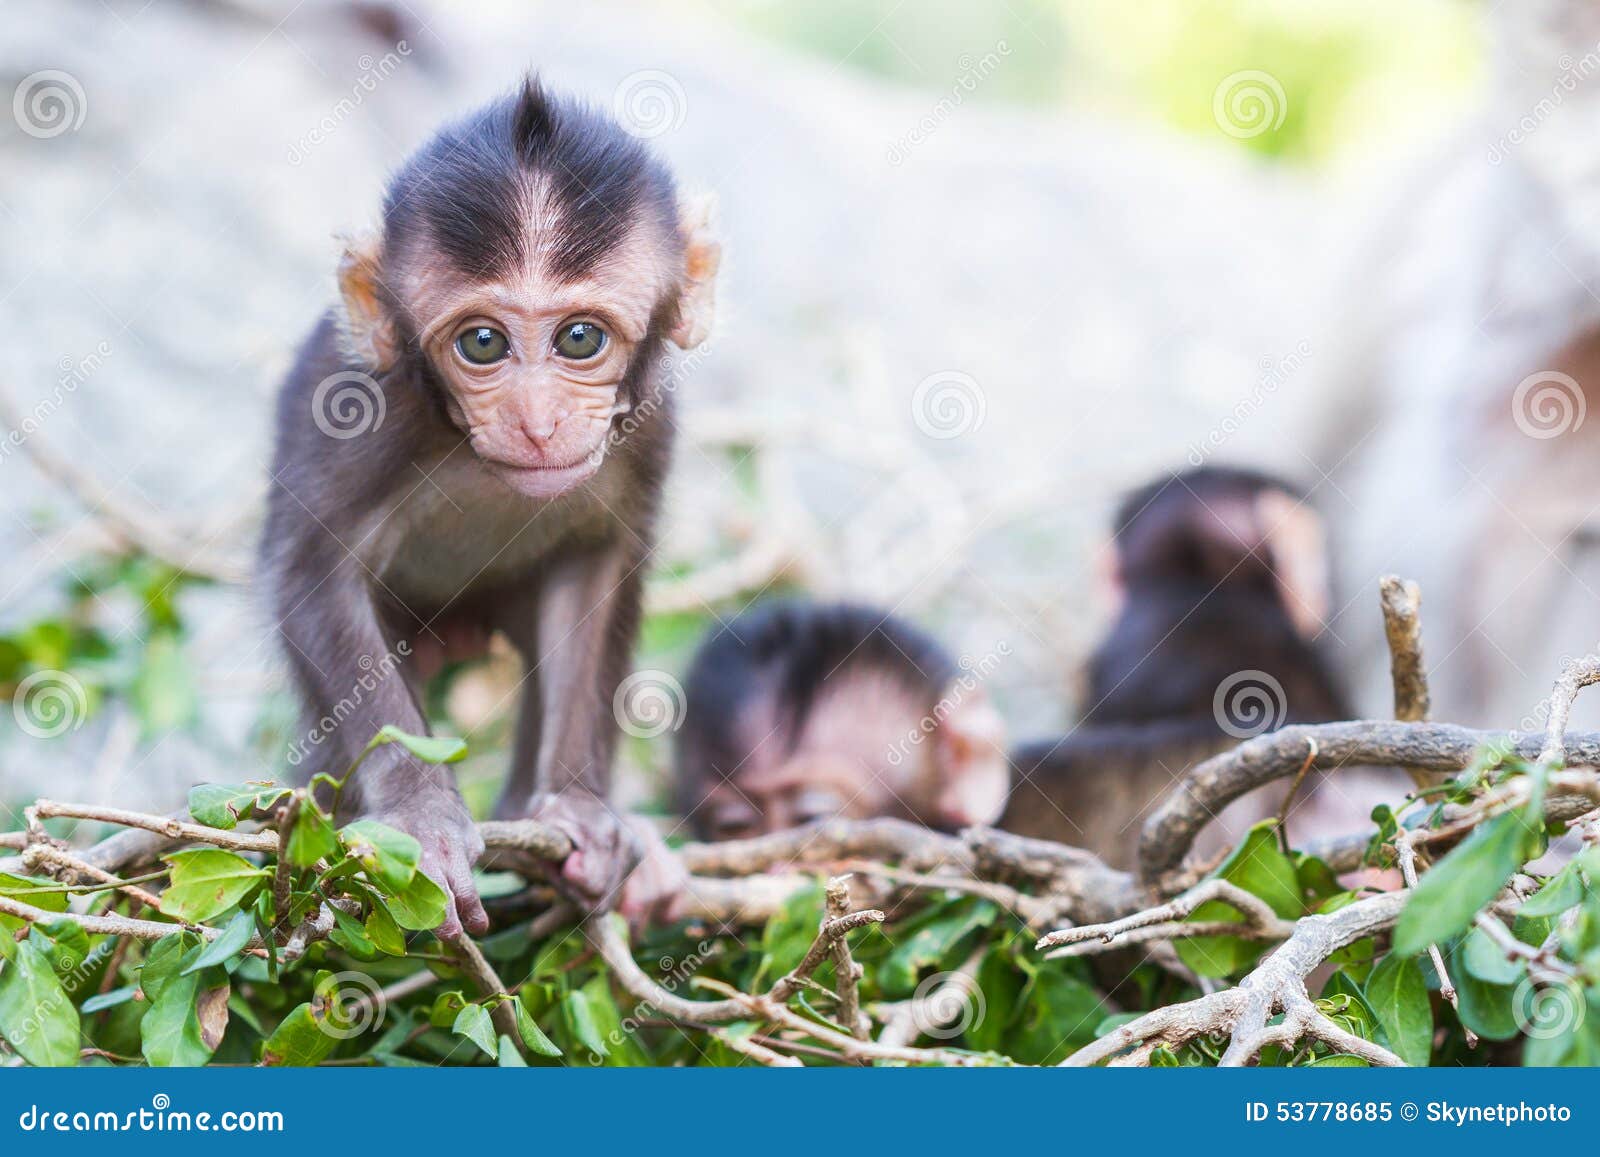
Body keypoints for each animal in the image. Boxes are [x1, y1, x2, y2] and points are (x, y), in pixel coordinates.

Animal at [261, 78, 720, 937]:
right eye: (481, 343)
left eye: (579, 338)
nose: (537, 422)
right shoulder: (364, 410)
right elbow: (313, 569)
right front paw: (419, 814)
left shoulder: (650, 423)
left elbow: (596, 565)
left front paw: (577, 807)